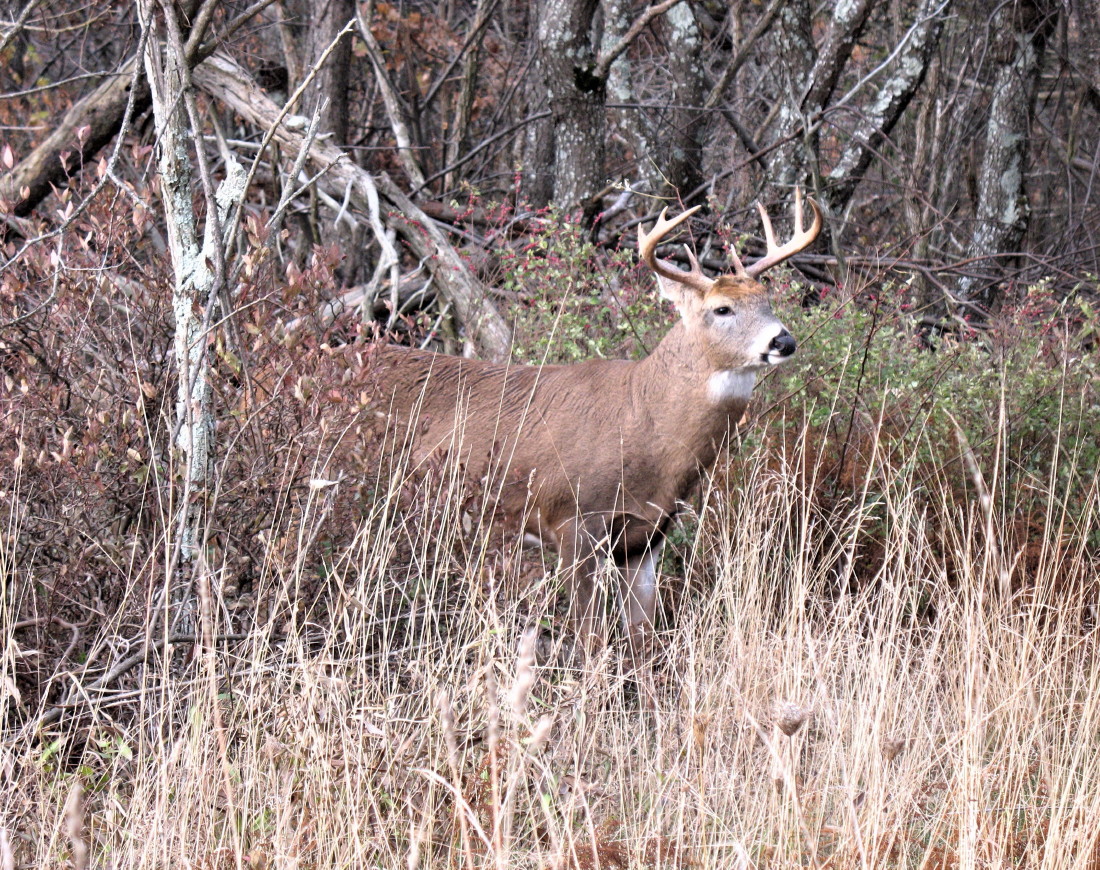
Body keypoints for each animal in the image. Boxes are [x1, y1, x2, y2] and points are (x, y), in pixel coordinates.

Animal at [361, 191, 822, 661]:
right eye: (722, 309)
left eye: (767, 302)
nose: (784, 340)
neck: (642, 426)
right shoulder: (570, 518)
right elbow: (591, 635)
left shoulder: (646, 534)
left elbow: (641, 635)